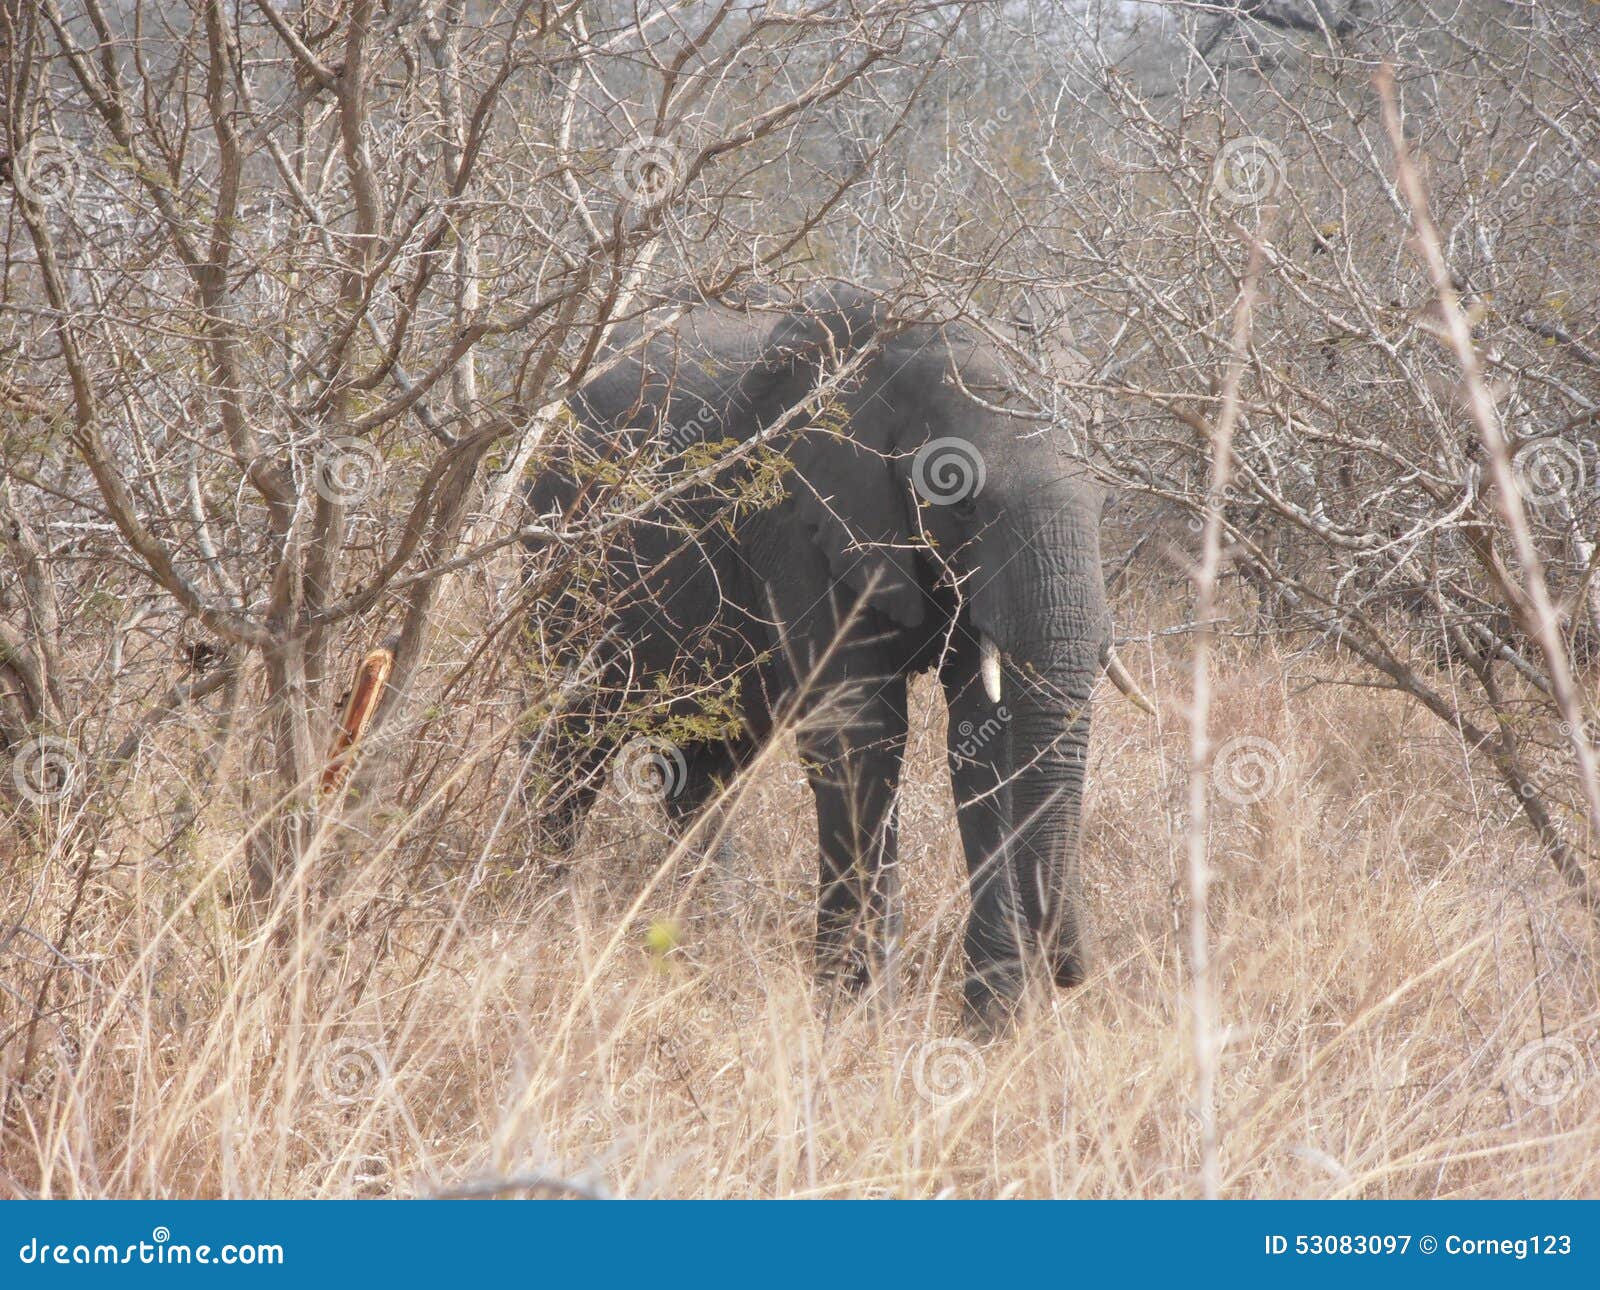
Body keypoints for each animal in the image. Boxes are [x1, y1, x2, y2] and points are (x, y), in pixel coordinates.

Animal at [521, 285, 1150, 1031]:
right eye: (961, 499)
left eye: (1107, 502)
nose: (1074, 972)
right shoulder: (799, 515)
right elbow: (860, 737)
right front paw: (862, 1020)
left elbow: (985, 741)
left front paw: (992, 1029)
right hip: (559, 556)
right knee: (571, 734)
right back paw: (533, 899)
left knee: (706, 764)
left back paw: (710, 941)